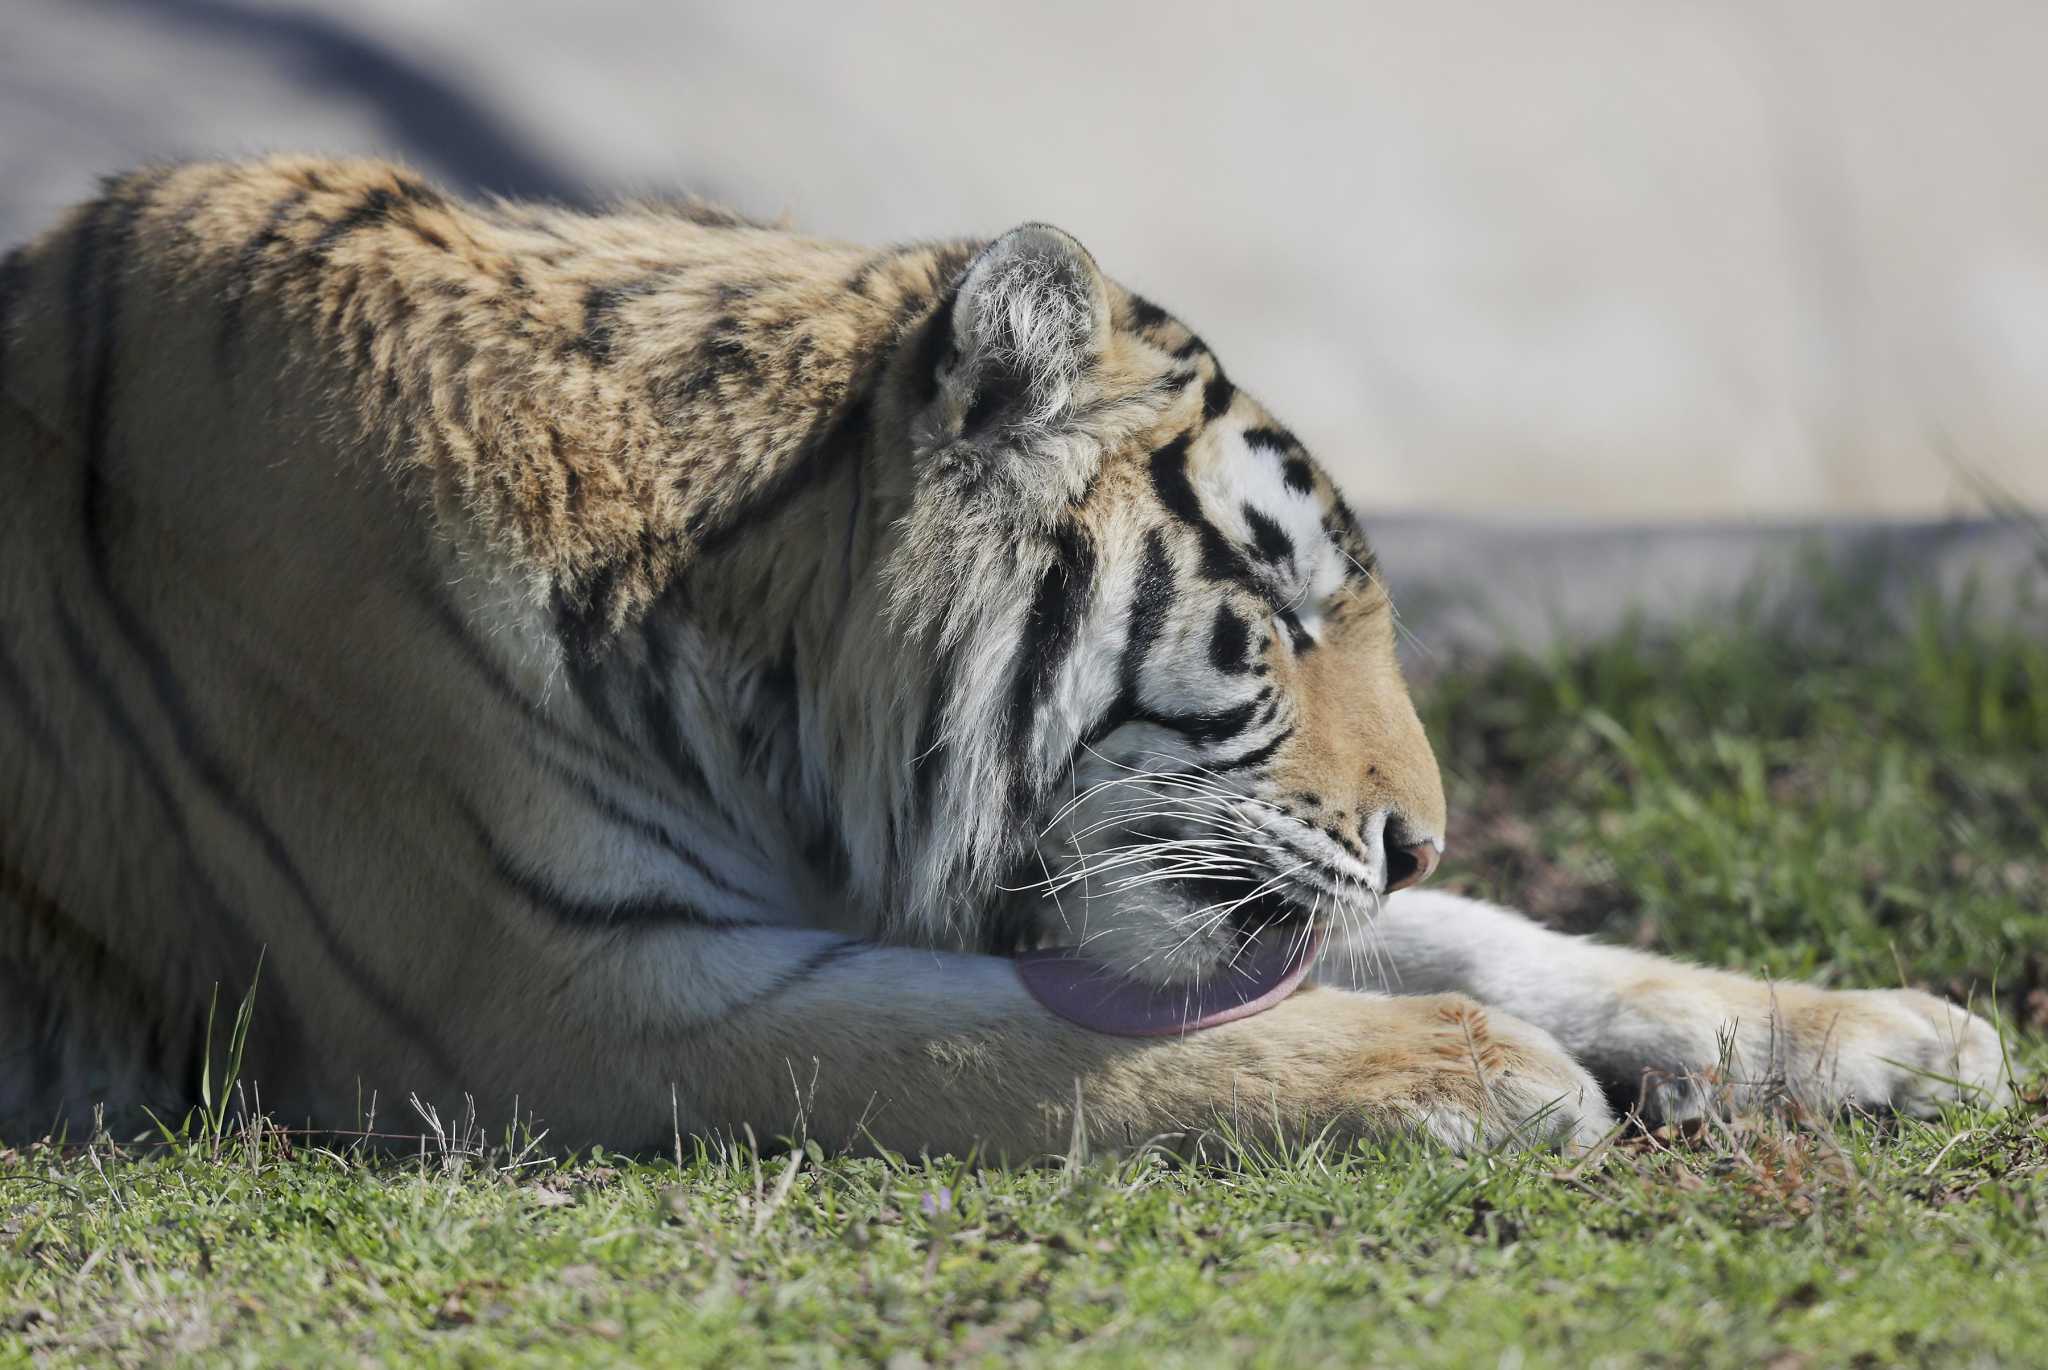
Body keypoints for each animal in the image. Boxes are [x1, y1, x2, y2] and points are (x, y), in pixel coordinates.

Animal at [0, 158, 2012, 1155]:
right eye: (1284, 613)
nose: (1420, 832)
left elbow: (1500, 937)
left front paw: (1894, 1033)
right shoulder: (551, 994)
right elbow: (1007, 1044)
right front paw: (1477, 1075)